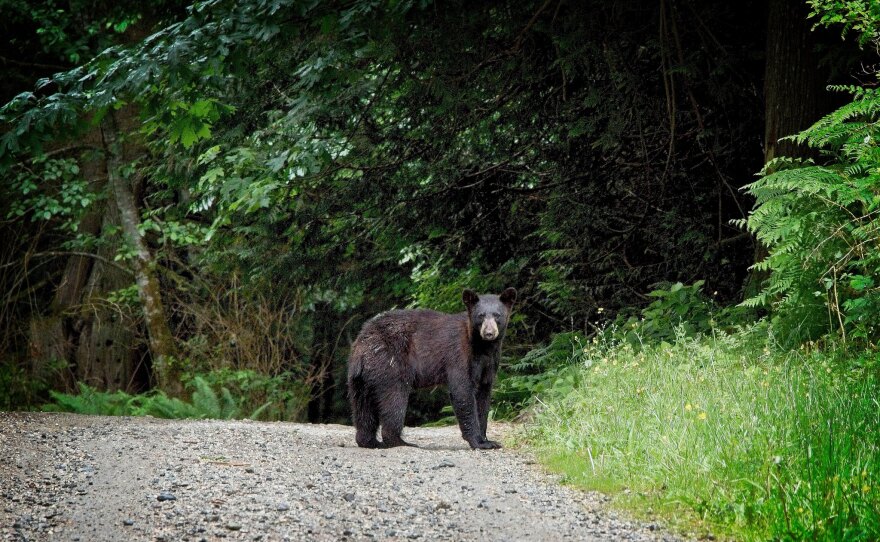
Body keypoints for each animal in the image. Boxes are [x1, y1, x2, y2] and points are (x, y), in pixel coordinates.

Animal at [347, 288, 517, 450]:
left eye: (497, 315)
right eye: (481, 315)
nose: (489, 333)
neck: (481, 346)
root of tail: (363, 341)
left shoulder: (489, 363)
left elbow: (484, 396)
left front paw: (487, 439)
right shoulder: (458, 355)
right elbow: (462, 392)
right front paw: (479, 442)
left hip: (362, 377)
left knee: (363, 406)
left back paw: (370, 441)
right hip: (390, 363)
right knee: (394, 399)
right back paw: (400, 442)